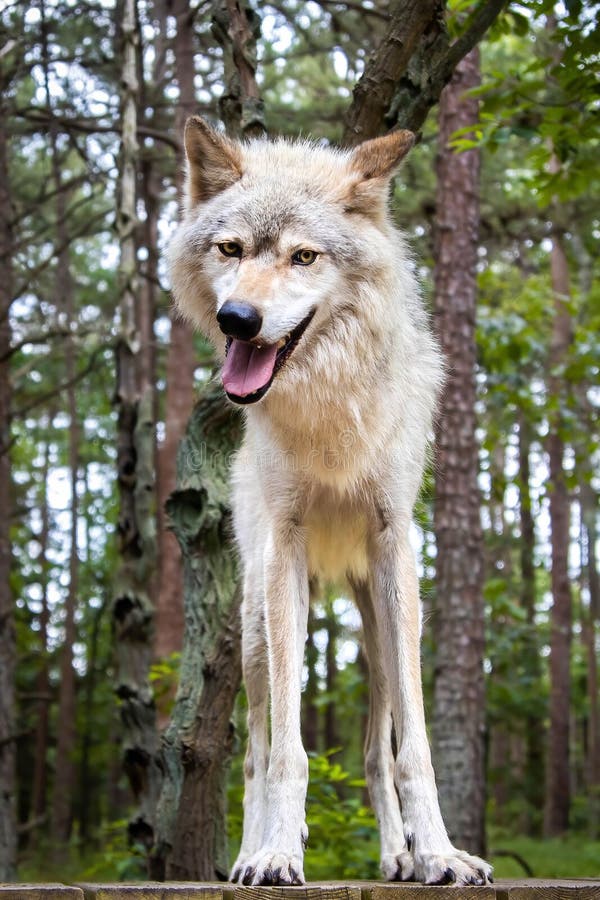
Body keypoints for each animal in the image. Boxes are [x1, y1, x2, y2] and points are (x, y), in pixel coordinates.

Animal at [169, 116, 493, 887]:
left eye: (304, 256)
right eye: (230, 249)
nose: (237, 318)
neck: (328, 403)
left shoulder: (395, 543)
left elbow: (413, 751)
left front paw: (439, 854)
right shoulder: (286, 553)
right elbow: (286, 752)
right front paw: (278, 854)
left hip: (375, 633)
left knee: (377, 751)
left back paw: (399, 857)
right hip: (260, 629)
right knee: (253, 753)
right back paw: (251, 851)